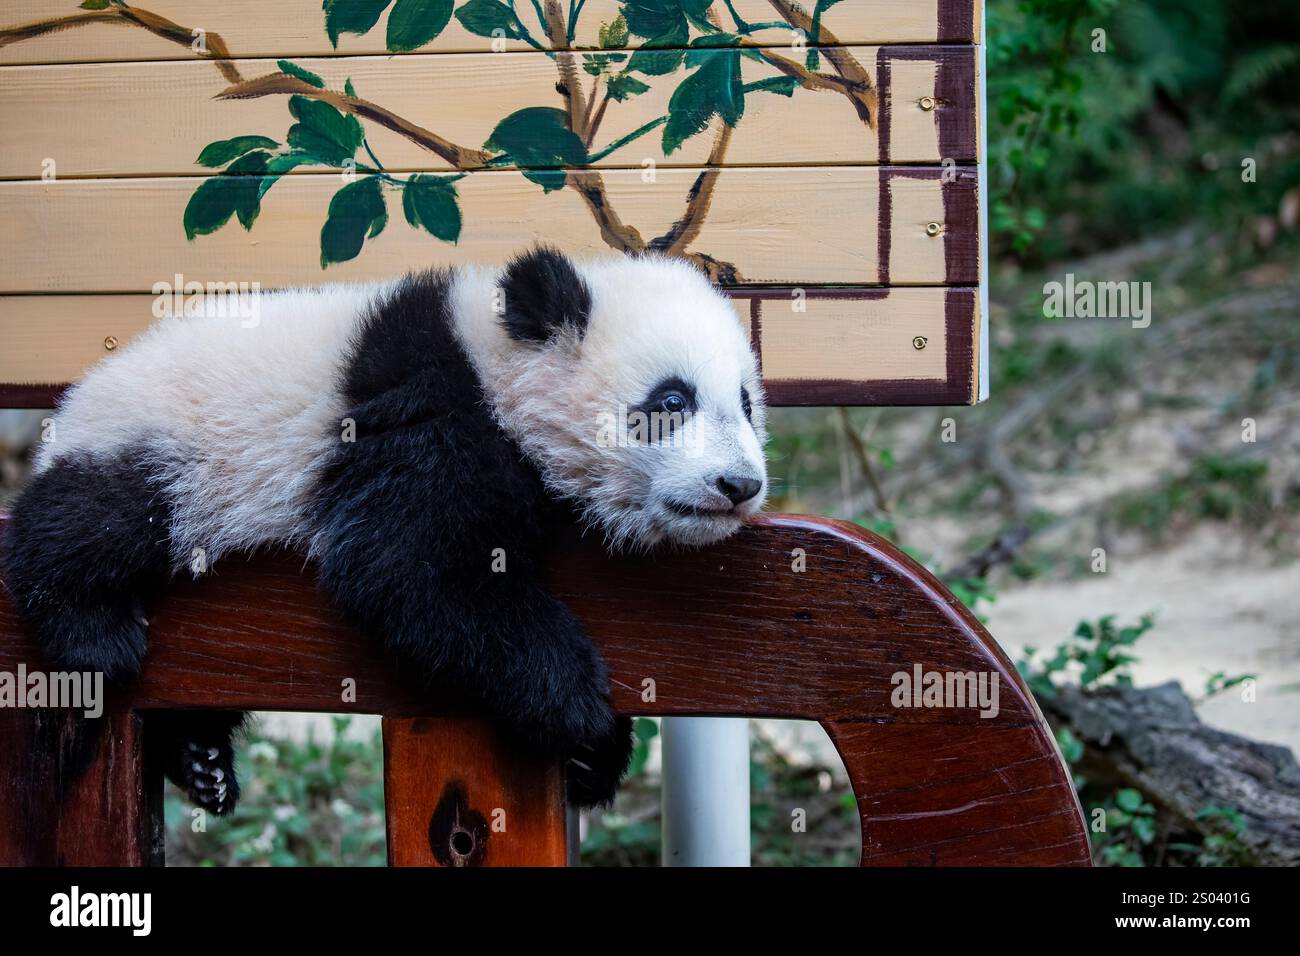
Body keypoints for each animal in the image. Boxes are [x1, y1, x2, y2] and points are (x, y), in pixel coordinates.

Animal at [3, 246, 768, 812]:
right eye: (671, 401)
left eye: (745, 402)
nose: (740, 485)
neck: (500, 363)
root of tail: (73, 406)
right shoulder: (430, 420)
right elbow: (404, 569)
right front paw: (578, 708)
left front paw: (591, 759)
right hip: (166, 445)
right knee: (97, 519)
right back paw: (94, 633)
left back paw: (202, 760)